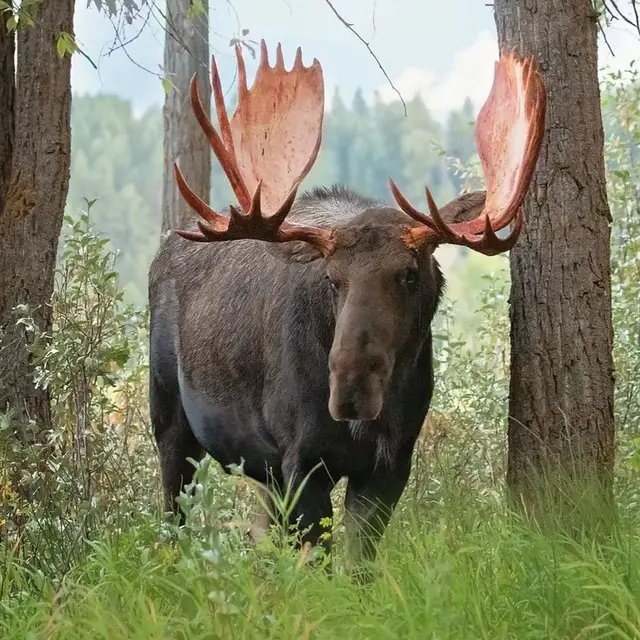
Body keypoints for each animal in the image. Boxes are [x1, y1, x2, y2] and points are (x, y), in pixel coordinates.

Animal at [148, 40, 546, 575]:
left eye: (410, 273)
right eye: (332, 279)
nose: (352, 385)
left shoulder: (391, 462)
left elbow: (358, 568)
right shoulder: (302, 460)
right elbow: (319, 564)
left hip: (261, 467)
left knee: (256, 531)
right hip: (171, 419)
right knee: (174, 516)